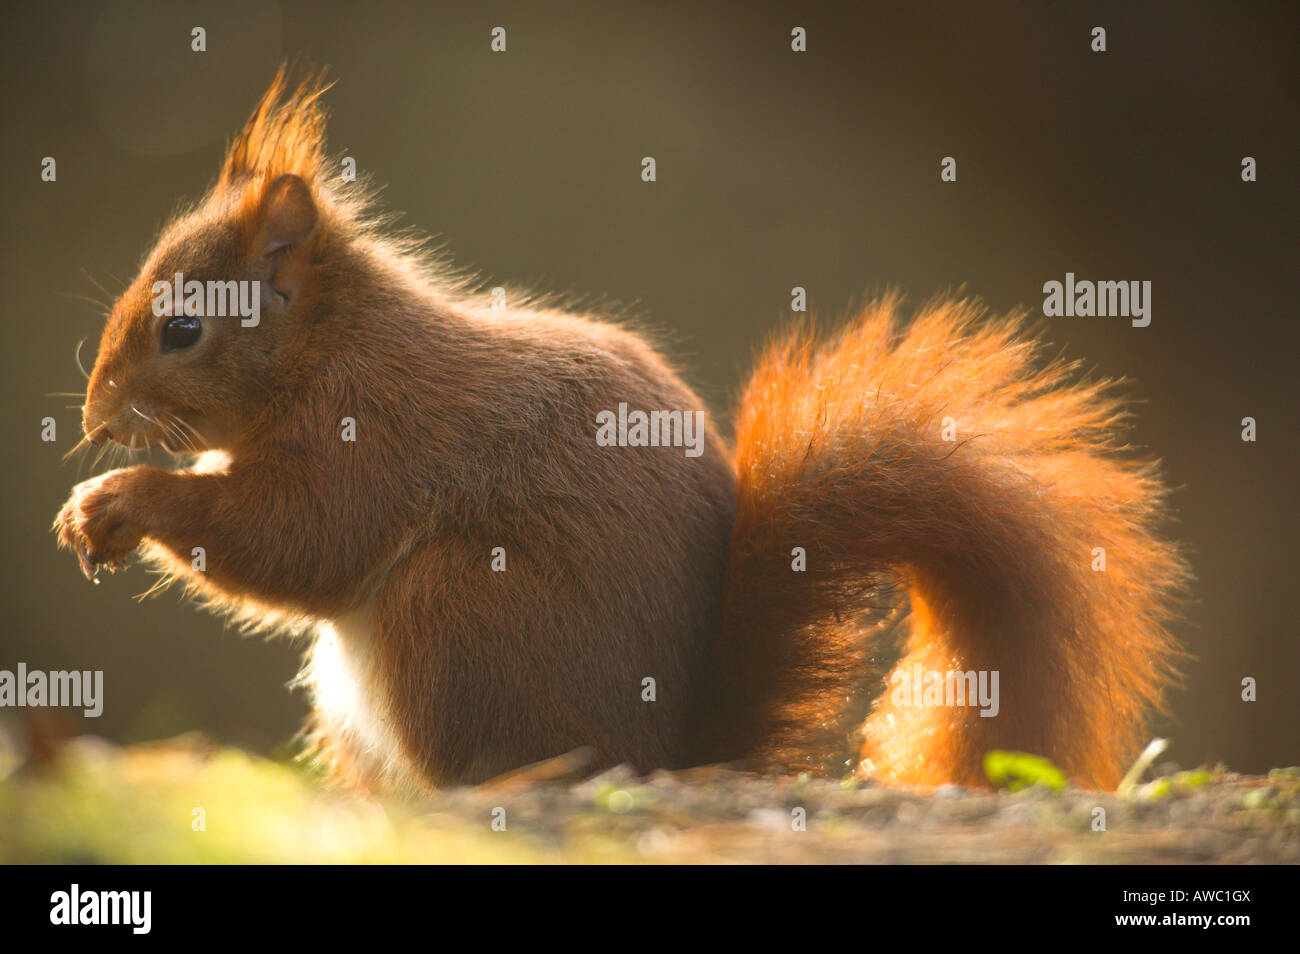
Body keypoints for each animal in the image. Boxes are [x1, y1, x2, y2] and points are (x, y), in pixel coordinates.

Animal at [55, 69, 1187, 794]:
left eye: (183, 329)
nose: (95, 419)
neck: (332, 349)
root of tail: (659, 752)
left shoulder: (374, 435)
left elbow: (297, 543)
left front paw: (120, 501)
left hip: (457, 612)